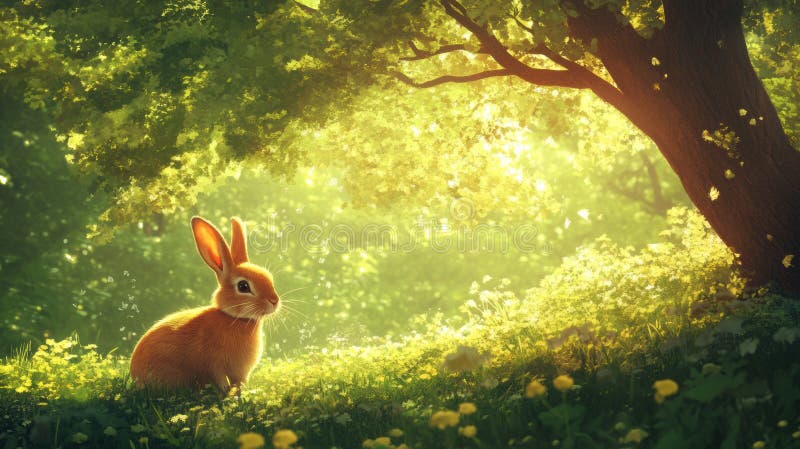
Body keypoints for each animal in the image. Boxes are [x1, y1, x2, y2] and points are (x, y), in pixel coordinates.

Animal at [130, 216, 279, 391]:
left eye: (269, 277)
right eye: (243, 286)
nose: (275, 301)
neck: (235, 318)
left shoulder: (240, 373)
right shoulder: (214, 364)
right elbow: (220, 379)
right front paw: (226, 392)